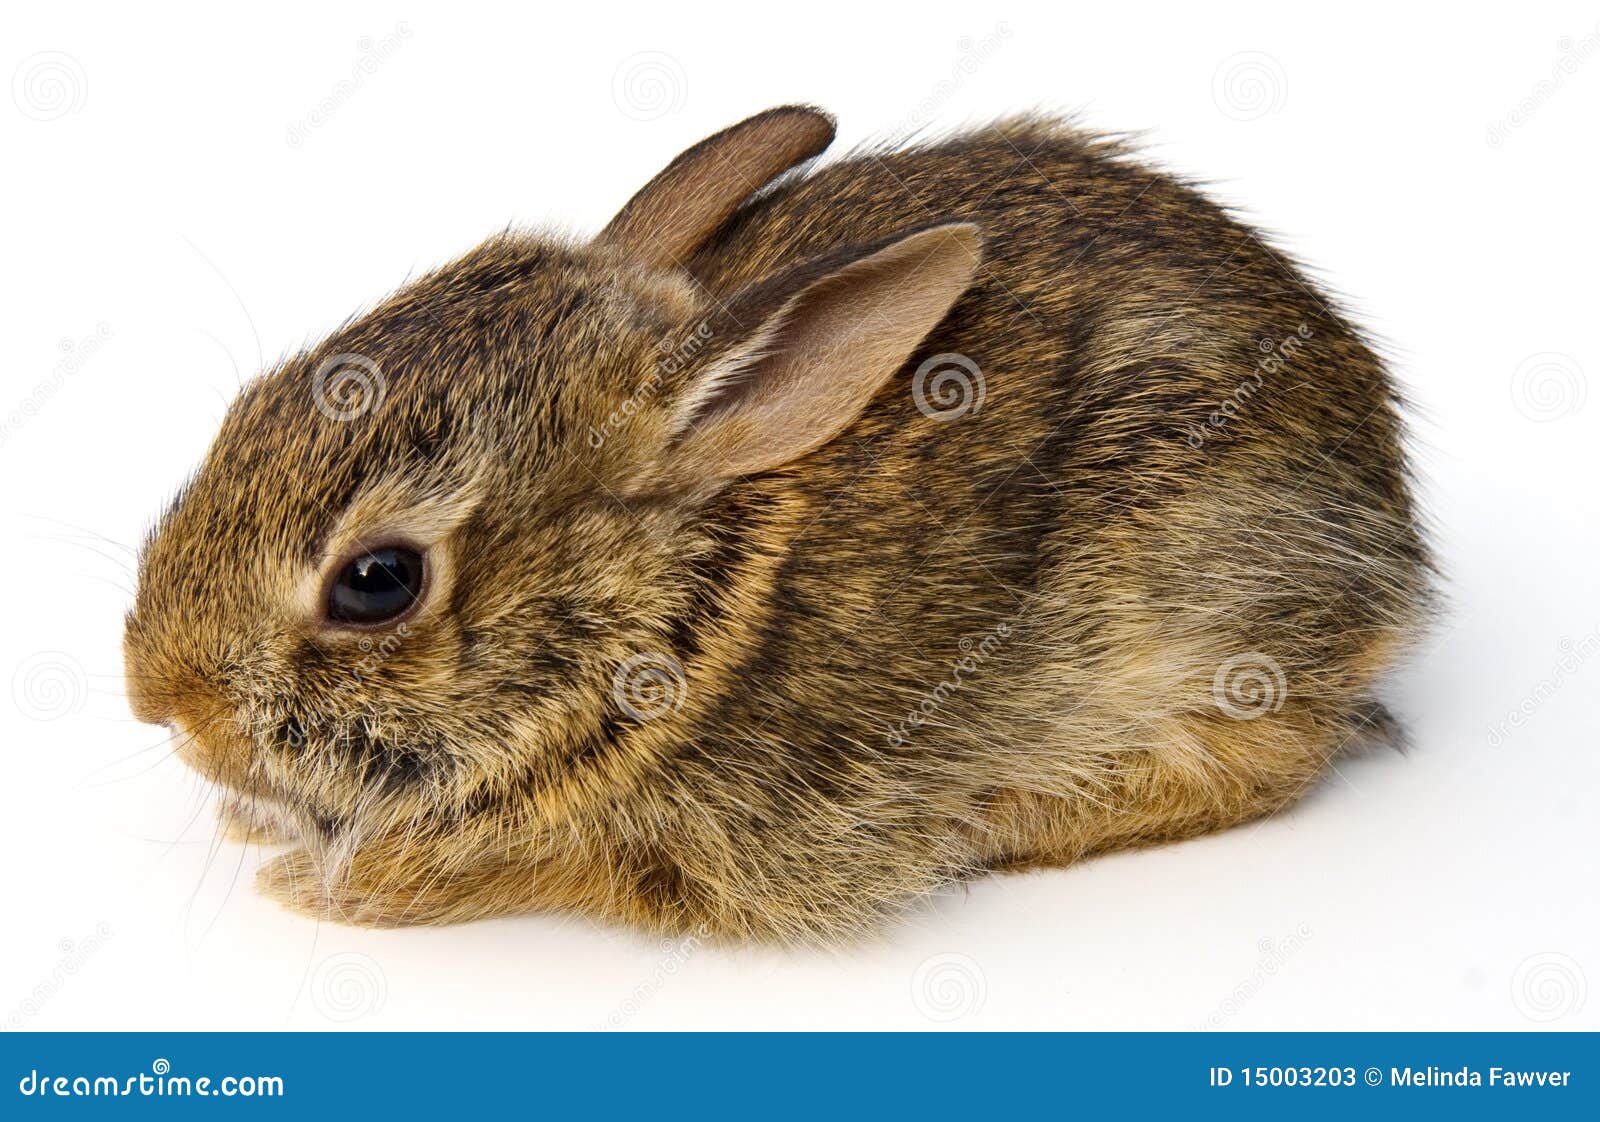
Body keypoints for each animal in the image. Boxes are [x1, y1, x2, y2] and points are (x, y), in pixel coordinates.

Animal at [124, 105, 1429, 942]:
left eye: (378, 580)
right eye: (247, 409)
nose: (160, 705)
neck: (675, 602)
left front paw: (309, 884)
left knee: (1268, 765)